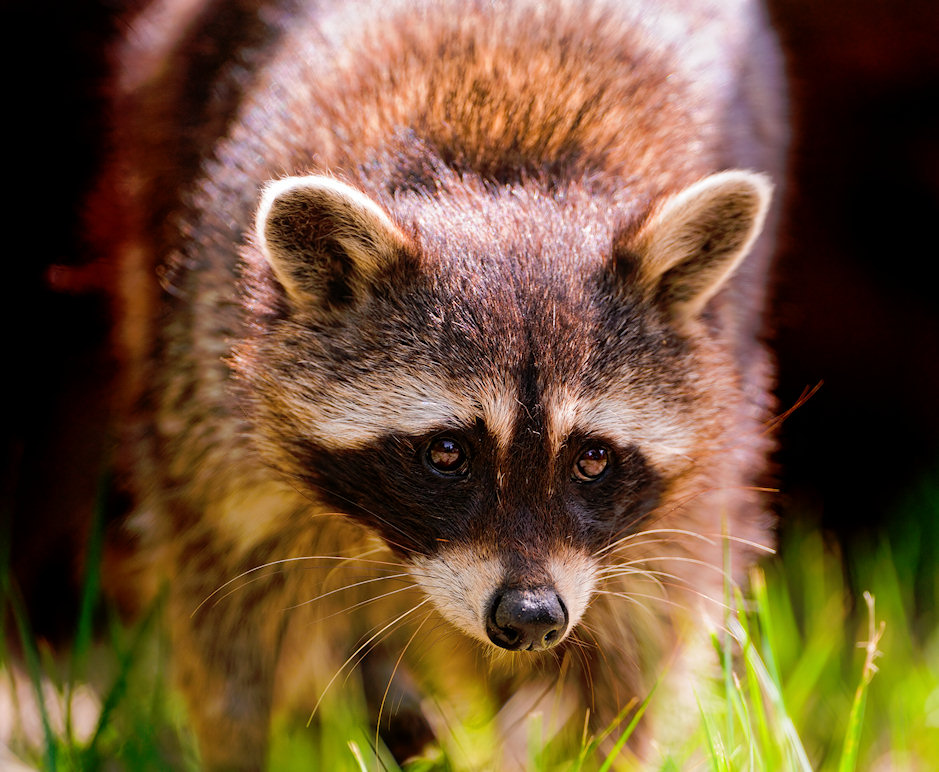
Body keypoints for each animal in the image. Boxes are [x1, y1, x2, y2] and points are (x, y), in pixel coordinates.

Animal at [95, 0, 786, 767]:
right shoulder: (214, 403)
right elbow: (228, 630)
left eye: (593, 458)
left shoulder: (690, 490)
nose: (530, 618)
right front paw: (239, 747)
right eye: (447, 452)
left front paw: (603, 747)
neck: (506, 172)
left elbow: (635, 647)